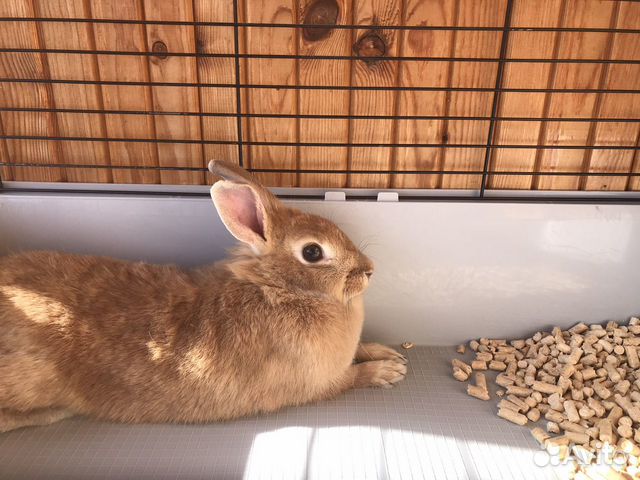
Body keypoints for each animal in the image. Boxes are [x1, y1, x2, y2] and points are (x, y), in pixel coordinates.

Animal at [0, 160, 407, 433]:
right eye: (312, 252)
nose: (369, 269)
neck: (278, 288)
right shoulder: (316, 382)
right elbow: (350, 378)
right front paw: (387, 371)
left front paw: (387, 353)